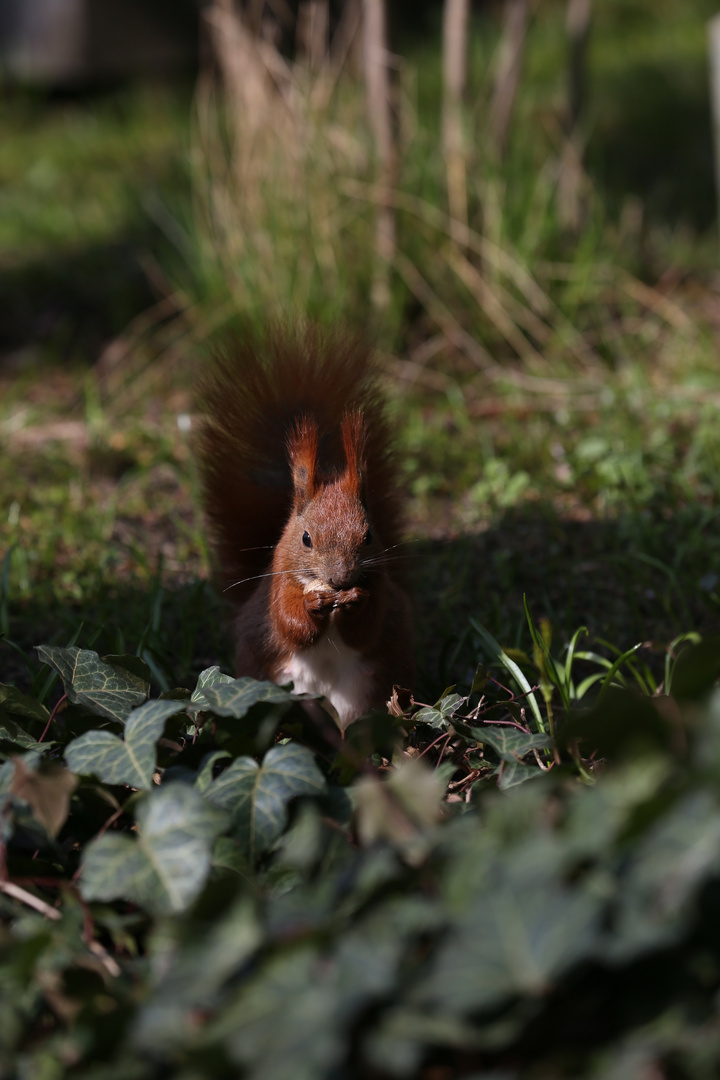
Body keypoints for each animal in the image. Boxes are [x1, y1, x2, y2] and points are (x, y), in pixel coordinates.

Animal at [196, 322, 415, 730]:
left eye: (369, 535)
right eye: (306, 538)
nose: (341, 580)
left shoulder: (380, 586)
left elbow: (367, 630)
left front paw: (356, 602)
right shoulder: (278, 584)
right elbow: (288, 624)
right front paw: (313, 604)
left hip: (373, 690)